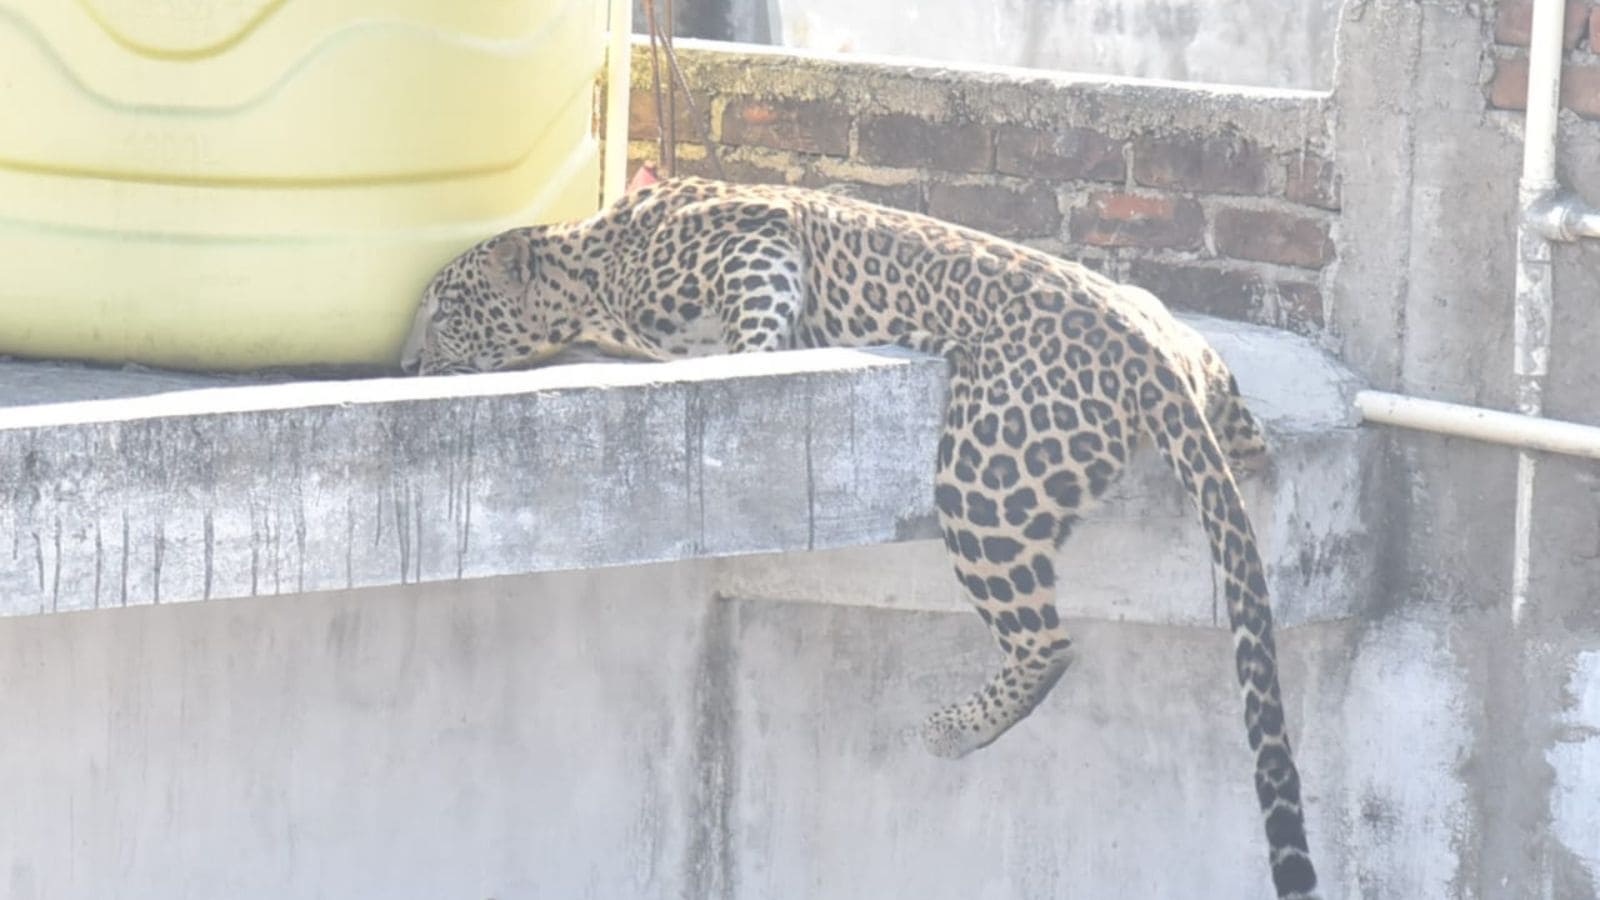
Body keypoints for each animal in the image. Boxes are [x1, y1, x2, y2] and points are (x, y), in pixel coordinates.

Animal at [402, 176, 1319, 899]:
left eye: (444, 308)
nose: (405, 364)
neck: (588, 270)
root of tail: (1154, 352)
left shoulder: (757, 240)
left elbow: (755, 331)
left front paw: (737, 359)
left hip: (981, 478)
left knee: (1048, 642)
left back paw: (955, 729)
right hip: (1206, 417)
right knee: (1247, 463)